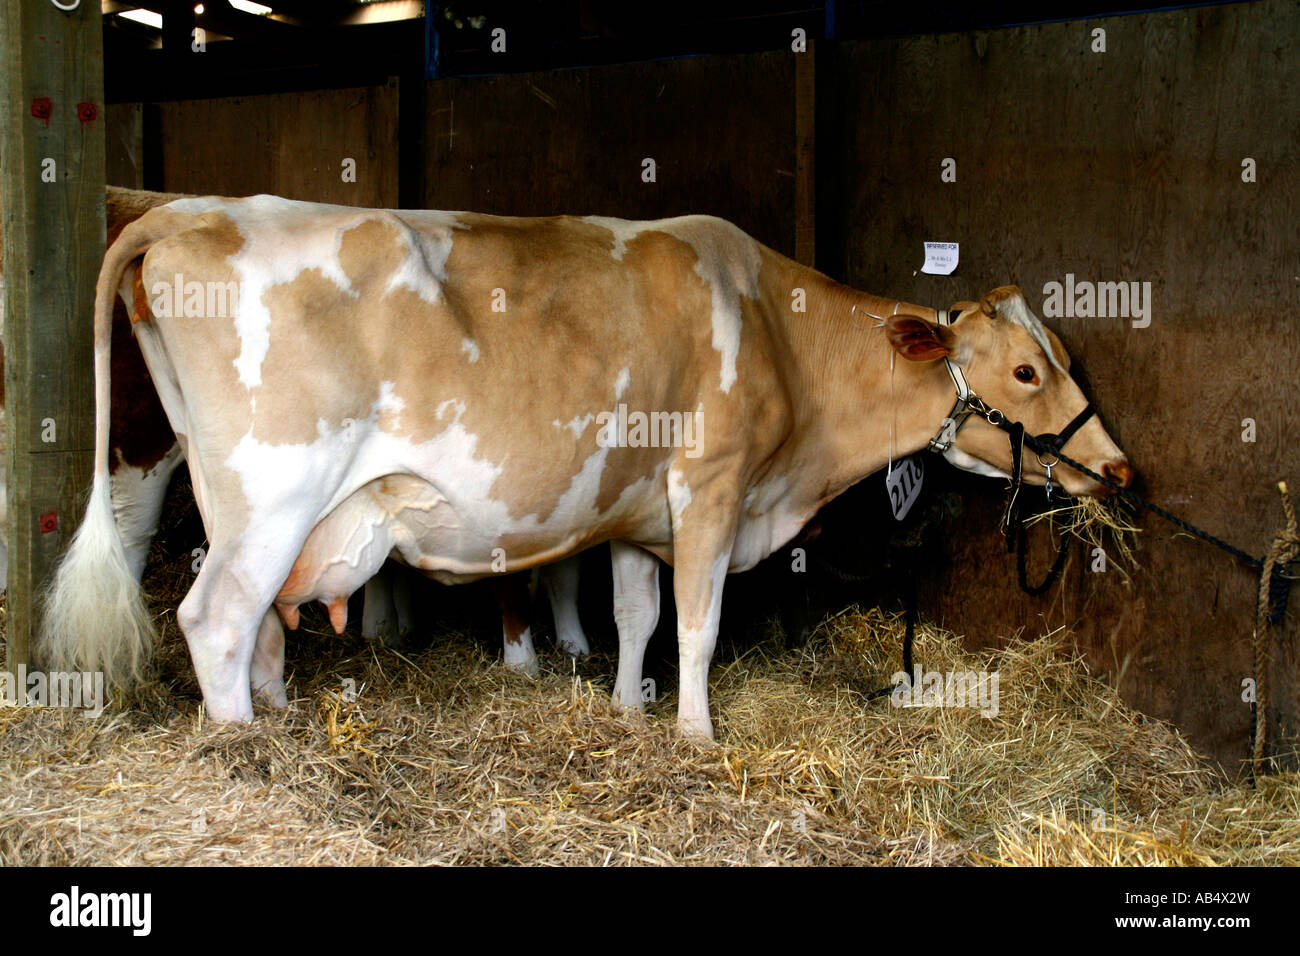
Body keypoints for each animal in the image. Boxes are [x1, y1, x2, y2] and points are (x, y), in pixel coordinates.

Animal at [39, 195, 1131, 738]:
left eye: (1061, 356)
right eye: (1028, 369)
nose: (1118, 470)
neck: (779, 333)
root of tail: (194, 210)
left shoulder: (640, 510)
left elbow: (637, 617)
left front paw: (625, 706)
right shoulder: (710, 487)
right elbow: (696, 626)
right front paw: (694, 733)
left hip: (232, 488)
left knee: (256, 615)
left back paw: (272, 709)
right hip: (274, 491)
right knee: (215, 616)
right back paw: (241, 746)